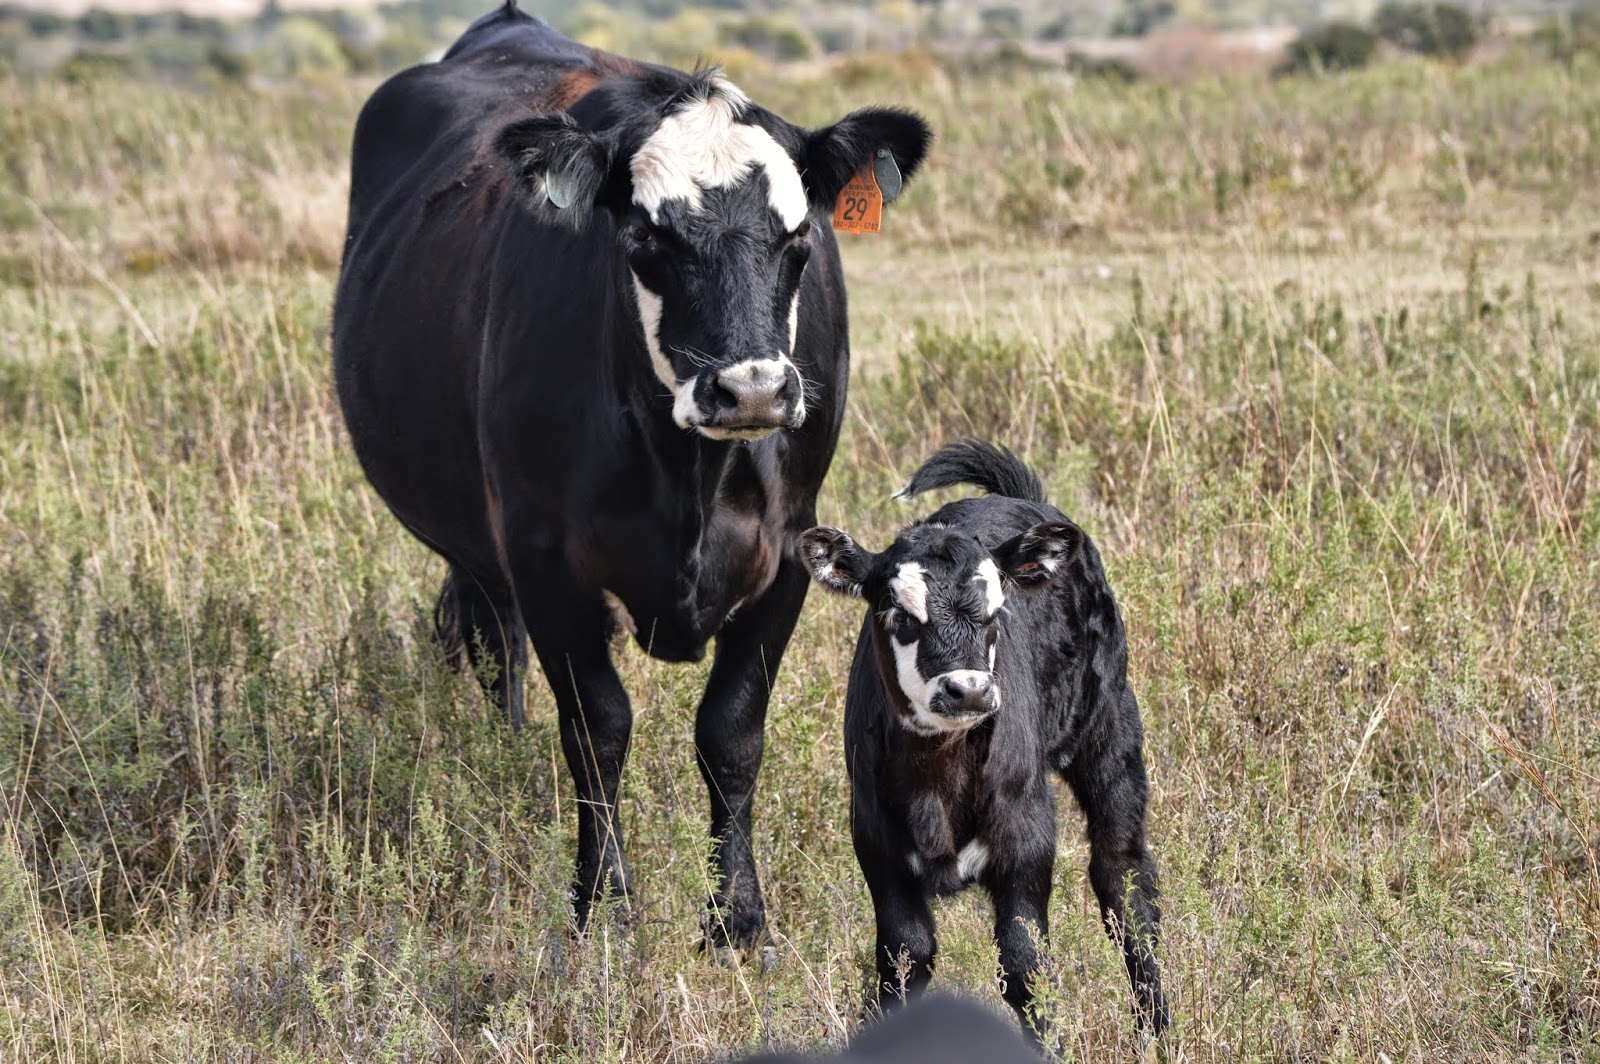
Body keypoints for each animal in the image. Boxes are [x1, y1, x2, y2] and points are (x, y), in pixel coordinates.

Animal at [330, 0, 930, 954]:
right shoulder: (544, 560)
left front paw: (737, 919)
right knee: (494, 648)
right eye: (646, 237)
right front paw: (605, 908)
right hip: (483, 544)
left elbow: (731, 733)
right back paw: (508, 761)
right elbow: (597, 728)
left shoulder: (789, 553)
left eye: (799, 237)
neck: (691, 473)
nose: (751, 388)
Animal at [798, 441, 1168, 1042]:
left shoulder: (1027, 837)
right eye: (899, 613)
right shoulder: (875, 840)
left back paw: (1155, 1032)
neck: (939, 784)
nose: (967, 689)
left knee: (1124, 882)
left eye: (996, 612)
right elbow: (905, 958)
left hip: (1112, 732)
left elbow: (1025, 968)